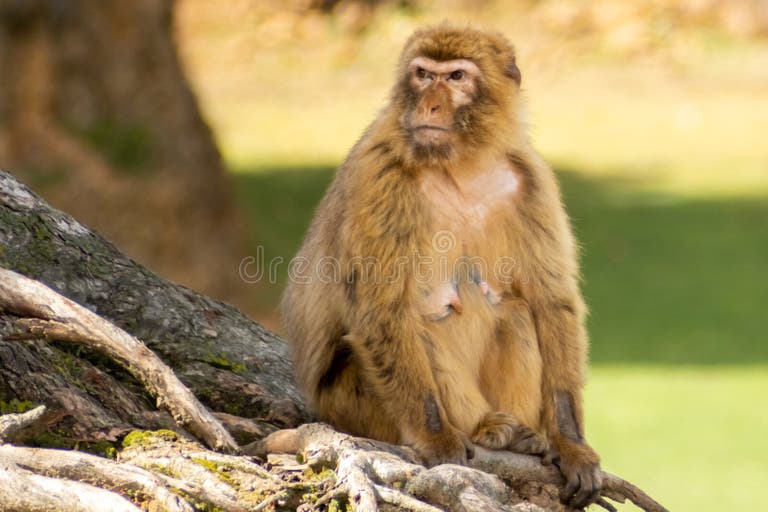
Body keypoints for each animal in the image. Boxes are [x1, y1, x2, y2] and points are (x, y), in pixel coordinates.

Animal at [281, 25, 602, 508]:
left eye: (455, 77)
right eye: (422, 74)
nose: (430, 104)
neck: (460, 165)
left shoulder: (531, 179)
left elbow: (551, 301)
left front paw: (571, 443)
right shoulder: (379, 174)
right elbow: (382, 310)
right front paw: (436, 438)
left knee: (516, 312)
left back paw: (518, 436)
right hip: (351, 404)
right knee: (415, 321)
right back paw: (482, 428)